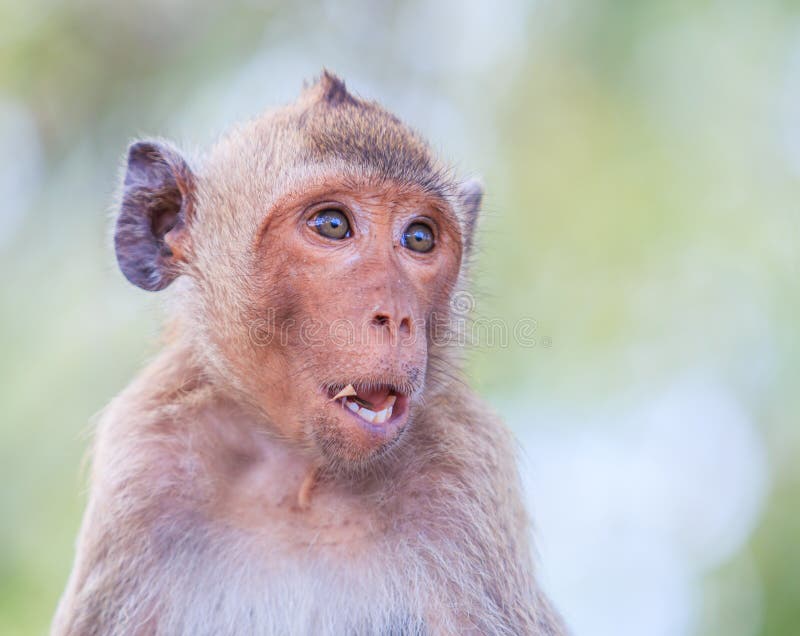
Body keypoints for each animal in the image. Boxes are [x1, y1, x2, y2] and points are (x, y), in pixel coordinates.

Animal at [52, 72, 566, 636]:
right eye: (332, 225)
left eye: (419, 237)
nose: (395, 317)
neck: (301, 473)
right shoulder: (145, 461)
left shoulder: (467, 469)